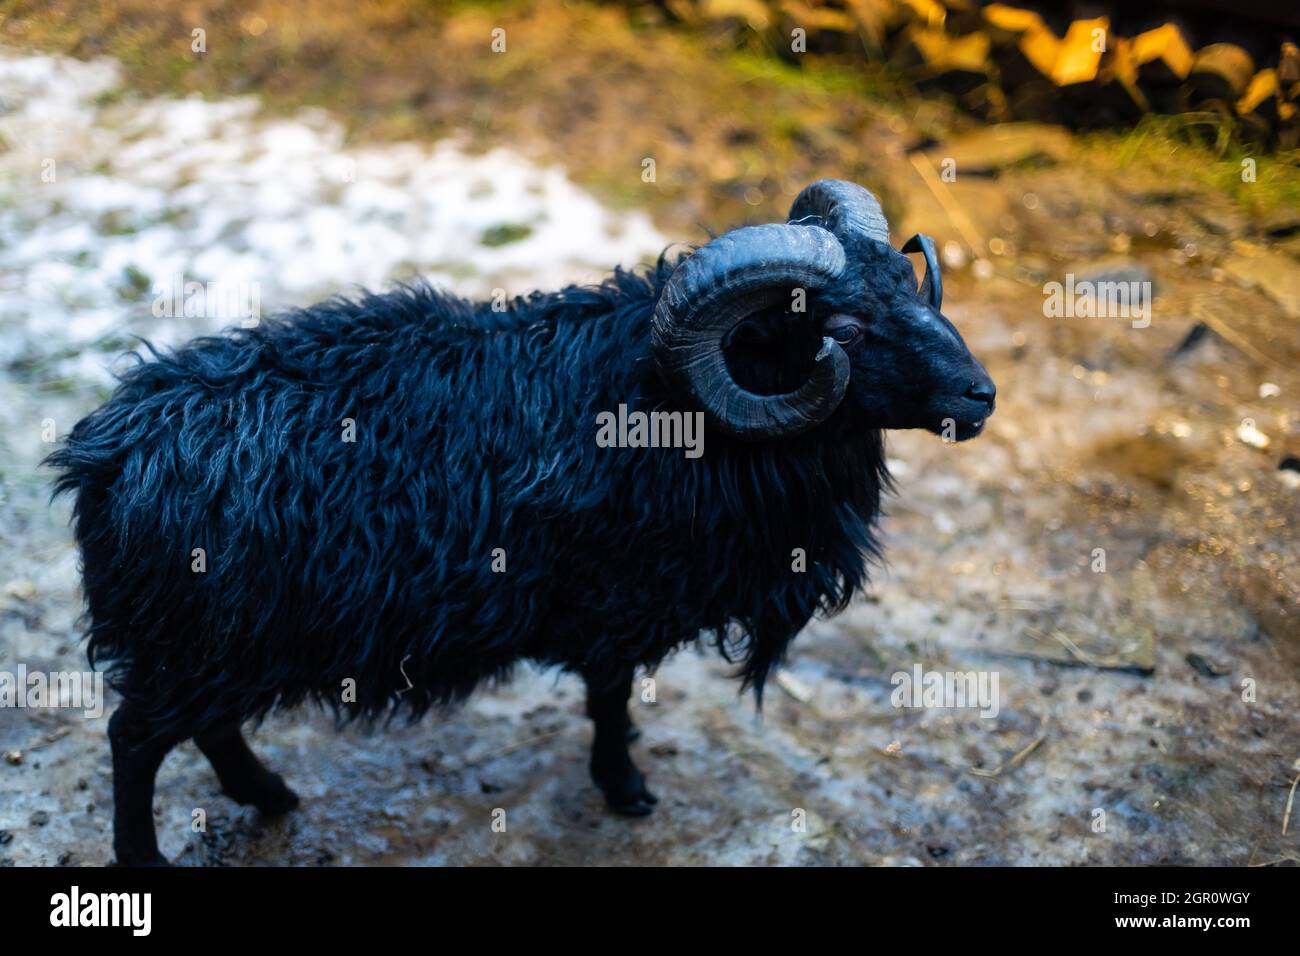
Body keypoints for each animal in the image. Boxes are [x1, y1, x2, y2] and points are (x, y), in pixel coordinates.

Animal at [48, 179, 995, 865]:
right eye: (845, 328)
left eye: (910, 285)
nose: (981, 395)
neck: (669, 409)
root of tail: (105, 452)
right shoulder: (617, 599)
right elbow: (609, 698)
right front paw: (624, 788)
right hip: (199, 638)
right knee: (135, 740)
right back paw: (148, 857)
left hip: (218, 644)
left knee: (207, 727)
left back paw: (270, 795)